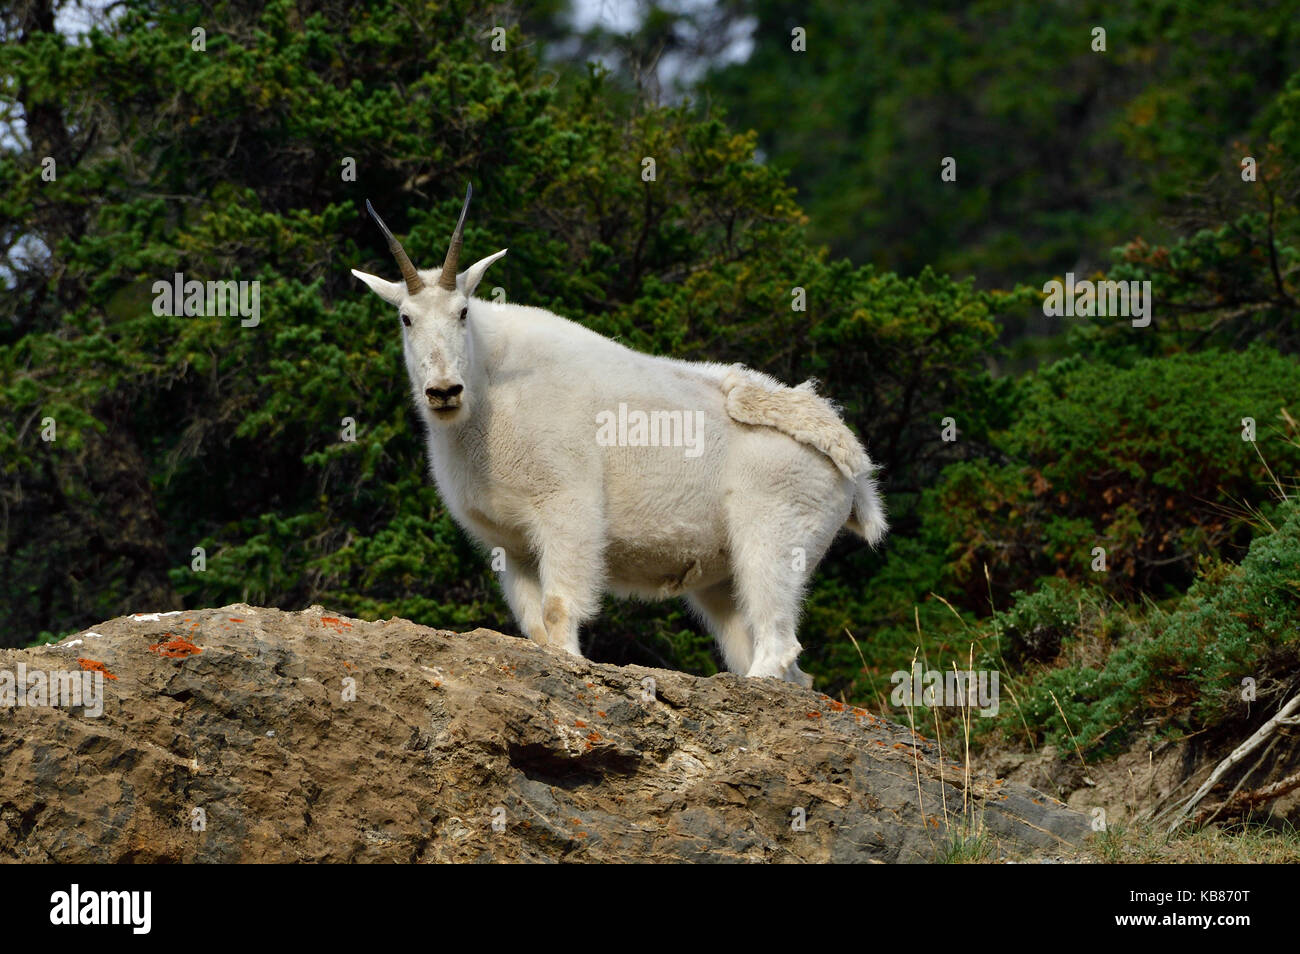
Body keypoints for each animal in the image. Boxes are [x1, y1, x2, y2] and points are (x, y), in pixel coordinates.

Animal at [351, 186, 887, 686]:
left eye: (462, 312)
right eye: (406, 318)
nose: (443, 391)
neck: (489, 390)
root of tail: (853, 469)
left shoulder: (567, 507)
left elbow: (559, 609)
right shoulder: (513, 544)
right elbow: (533, 624)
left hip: (775, 534)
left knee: (778, 638)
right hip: (724, 577)